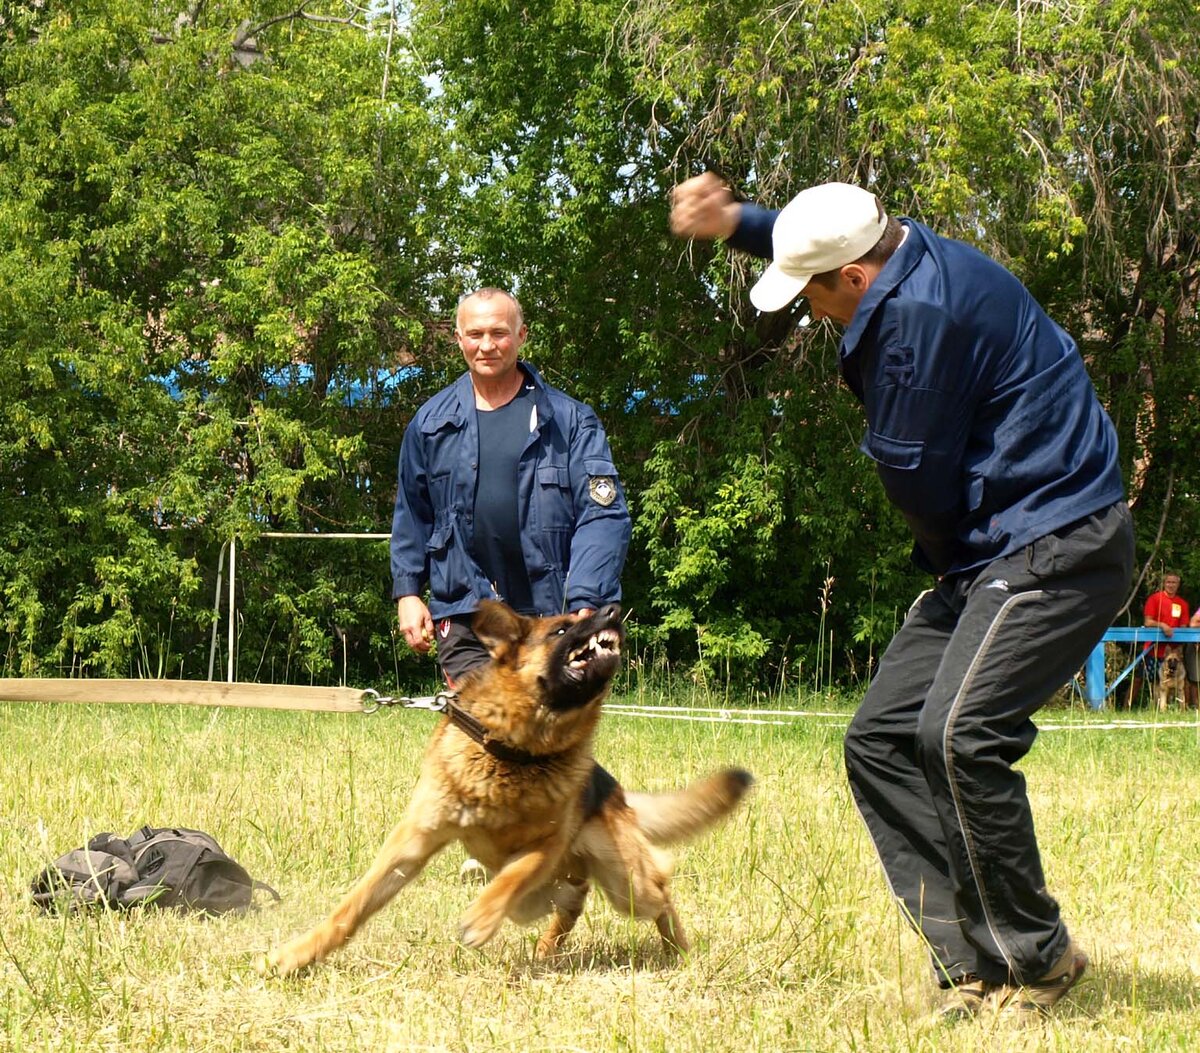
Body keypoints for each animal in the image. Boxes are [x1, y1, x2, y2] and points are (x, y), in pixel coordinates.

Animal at [262, 597, 748, 978]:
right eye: (562, 629)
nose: (613, 610)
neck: (514, 751)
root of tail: (614, 790)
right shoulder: (411, 843)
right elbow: (352, 907)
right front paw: (297, 955)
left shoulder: (544, 847)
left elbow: (510, 877)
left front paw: (480, 916)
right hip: (566, 886)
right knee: (574, 900)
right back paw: (548, 950)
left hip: (626, 885)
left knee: (658, 895)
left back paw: (681, 953)